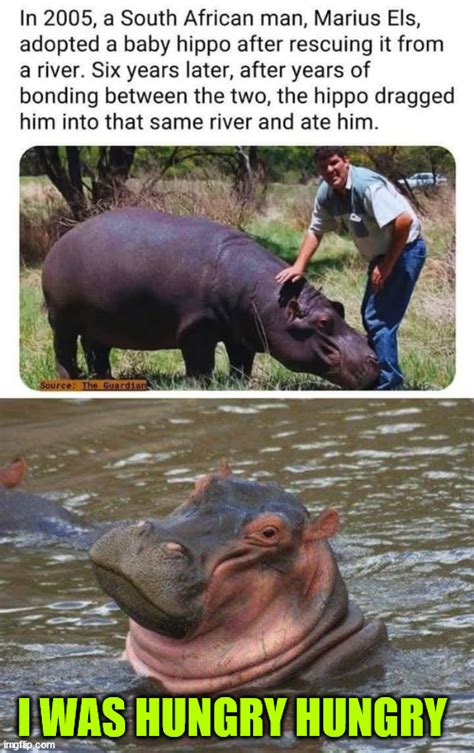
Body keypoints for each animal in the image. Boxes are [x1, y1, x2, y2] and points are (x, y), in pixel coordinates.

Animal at [42, 209, 379, 389]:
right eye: (323, 322)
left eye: (340, 308)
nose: (375, 359)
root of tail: (60, 241)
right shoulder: (197, 328)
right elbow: (201, 364)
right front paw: (200, 385)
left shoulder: (242, 332)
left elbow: (242, 363)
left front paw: (239, 384)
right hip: (61, 319)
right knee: (64, 351)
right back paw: (69, 380)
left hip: (99, 322)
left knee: (96, 349)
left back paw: (105, 380)